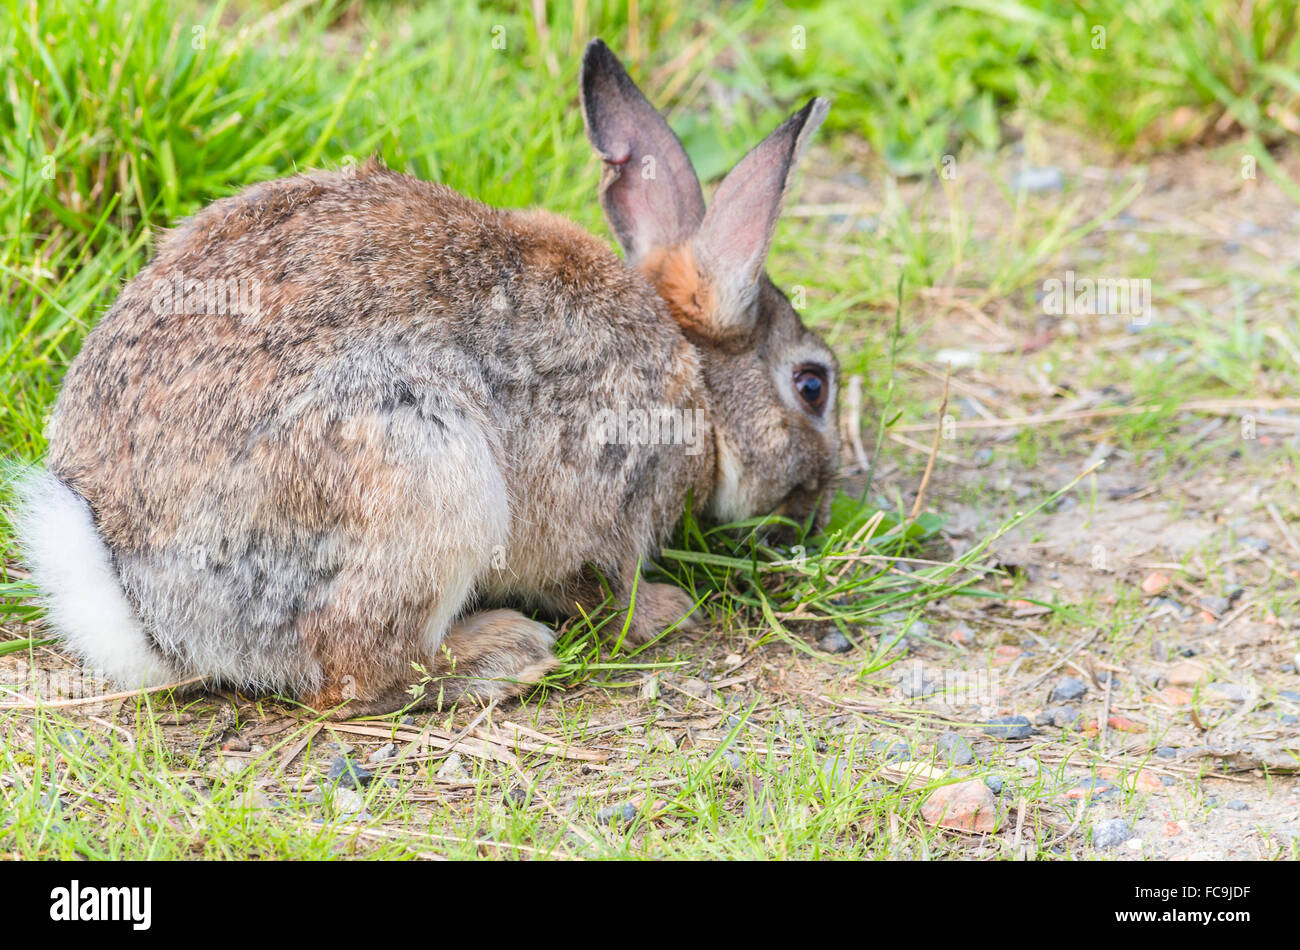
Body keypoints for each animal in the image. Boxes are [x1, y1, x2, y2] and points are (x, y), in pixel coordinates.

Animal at [13, 39, 840, 717]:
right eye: (813, 386)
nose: (816, 511)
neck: (695, 381)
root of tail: (146, 606)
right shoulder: (607, 506)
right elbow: (604, 587)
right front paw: (665, 612)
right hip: (418, 459)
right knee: (357, 677)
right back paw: (507, 652)